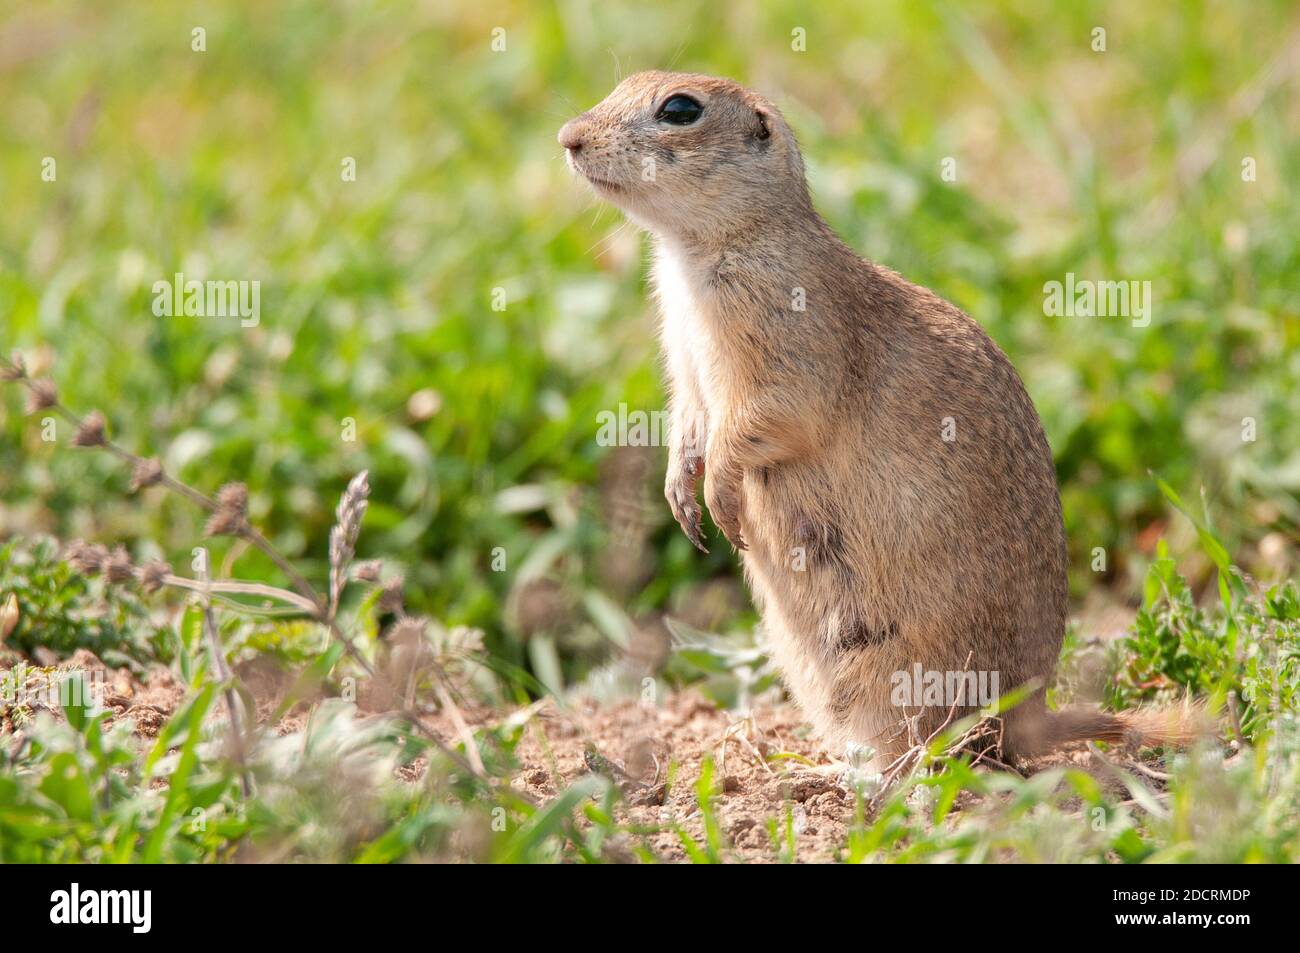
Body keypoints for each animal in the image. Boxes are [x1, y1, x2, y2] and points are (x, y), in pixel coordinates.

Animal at [559, 72, 1199, 767]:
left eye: (680, 109)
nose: (568, 137)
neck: (703, 251)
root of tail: (1033, 716)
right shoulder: (683, 360)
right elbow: (688, 423)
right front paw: (680, 493)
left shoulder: (787, 347)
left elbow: (766, 420)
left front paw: (720, 501)